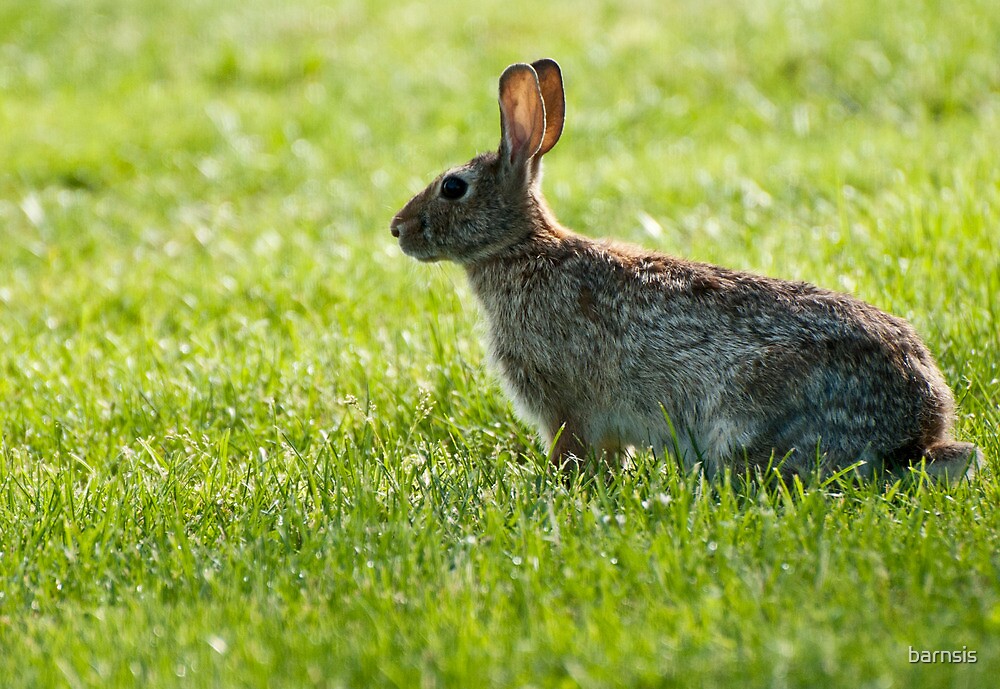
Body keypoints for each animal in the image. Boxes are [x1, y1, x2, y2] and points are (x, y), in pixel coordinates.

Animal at [390, 58, 983, 480]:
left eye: (453, 187)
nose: (397, 228)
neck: (520, 250)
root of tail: (919, 426)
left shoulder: (563, 406)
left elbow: (572, 453)